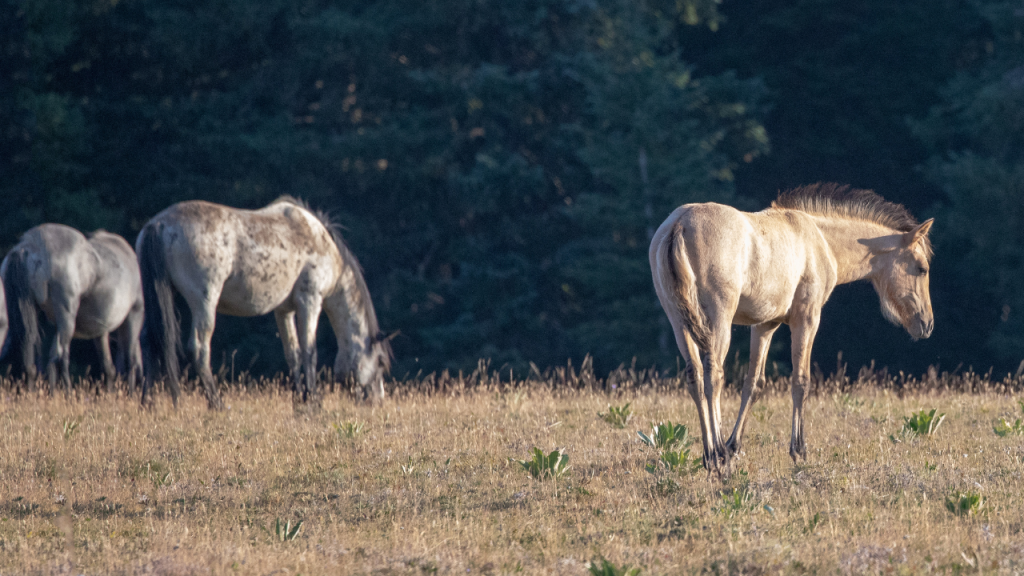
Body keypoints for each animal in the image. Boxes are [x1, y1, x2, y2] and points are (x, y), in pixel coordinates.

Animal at [0, 224, 145, 393]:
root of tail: (29, 247)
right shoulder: (133, 314)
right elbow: (129, 361)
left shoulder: (100, 330)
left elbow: (109, 367)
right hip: (67, 319)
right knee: (61, 356)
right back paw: (66, 392)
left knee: (34, 359)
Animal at [135, 196, 391, 409]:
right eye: (380, 363)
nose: (378, 401)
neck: (321, 242)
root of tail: (158, 225)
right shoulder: (310, 300)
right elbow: (310, 351)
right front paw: (313, 401)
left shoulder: (284, 310)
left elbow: (293, 353)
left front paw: (299, 400)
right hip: (204, 301)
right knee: (198, 349)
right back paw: (217, 404)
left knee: (149, 341)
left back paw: (148, 404)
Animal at [650, 183, 934, 472]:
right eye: (922, 268)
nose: (927, 323)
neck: (821, 241)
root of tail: (680, 224)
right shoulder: (806, 318)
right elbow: (801, 381)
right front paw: (799, 450)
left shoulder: (765, 324)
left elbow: (753, 384)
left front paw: (734, 445)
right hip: (719, 321)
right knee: (713, 375)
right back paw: (717, 455)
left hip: (679, 323)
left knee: (695, 376)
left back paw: (712, 455)